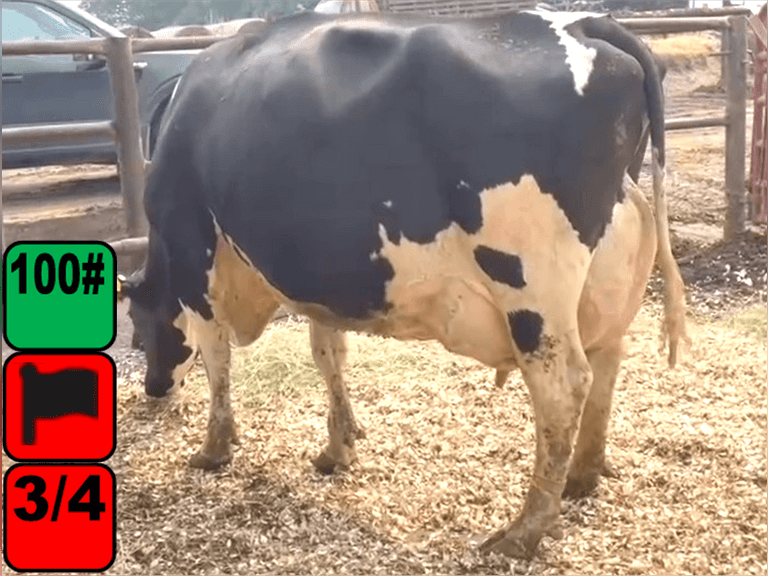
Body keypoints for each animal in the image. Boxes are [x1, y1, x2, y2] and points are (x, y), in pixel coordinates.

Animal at [119, 10, 688, 558]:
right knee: (607, 358)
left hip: (530, 285)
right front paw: (339, 445)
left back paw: (523, 531)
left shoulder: (193, 254)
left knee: (564, 385)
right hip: (607, 273)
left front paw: (214, 447)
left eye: (137, 328)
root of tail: (589, 25)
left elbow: (216, 357)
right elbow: (328, 353)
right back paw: (581, 476)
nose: (153, 388)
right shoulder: (323, 282)